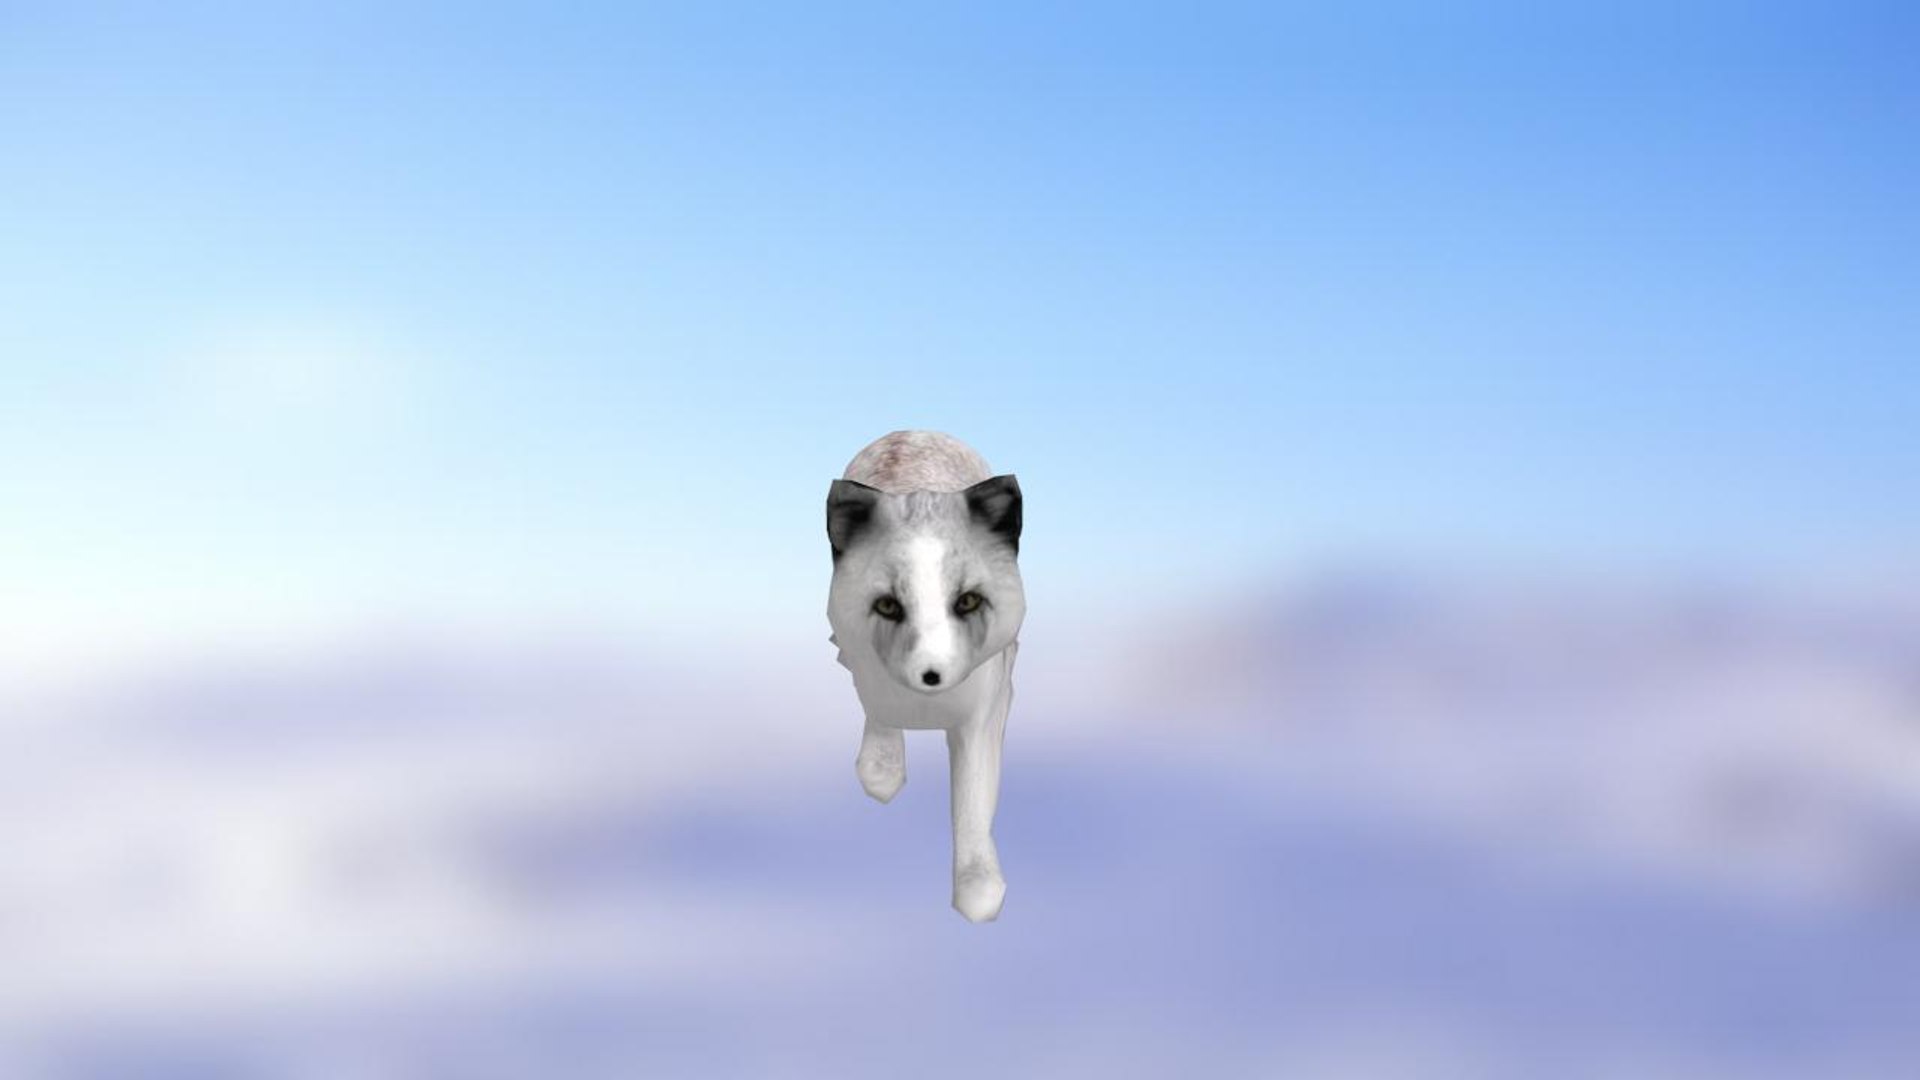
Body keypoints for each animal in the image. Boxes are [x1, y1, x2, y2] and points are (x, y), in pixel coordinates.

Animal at [825, 430, 1025, 922]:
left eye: (969, 602)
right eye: (888, 606)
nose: (931, 675)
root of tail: (909, 432)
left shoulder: (984, 714)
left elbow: (972, 800)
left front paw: (977, 888)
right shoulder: (868, 671)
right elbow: (878, 711)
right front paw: (881, 769)